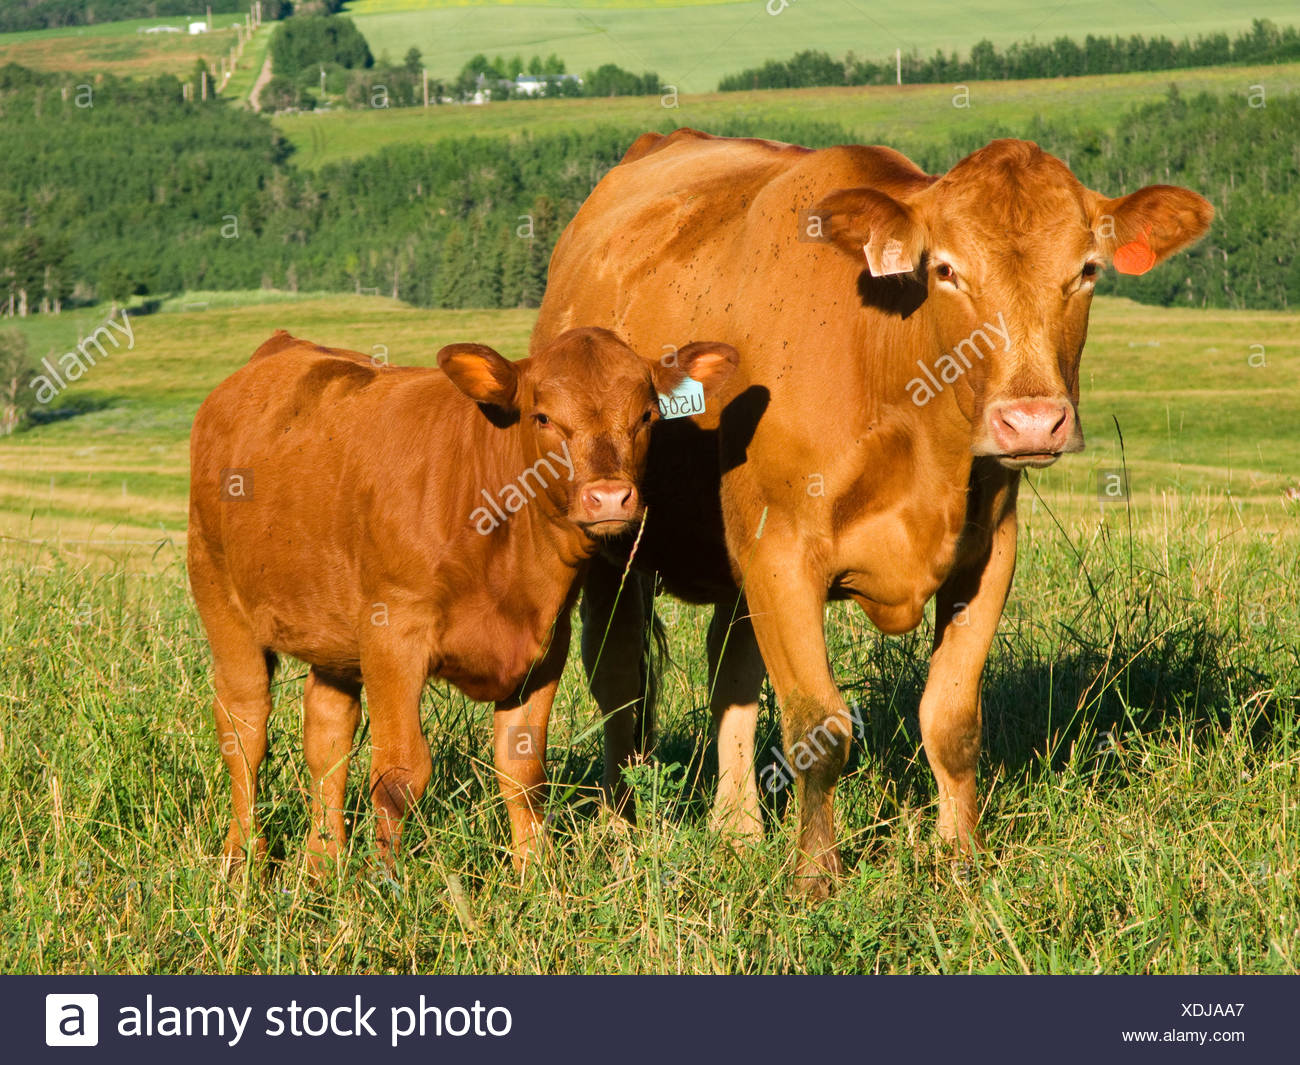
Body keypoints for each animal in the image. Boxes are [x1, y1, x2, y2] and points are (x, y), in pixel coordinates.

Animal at [188, 326, 736, 871]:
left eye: (647, 417)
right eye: (542, 416)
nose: (609, 498)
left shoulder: (545, 646)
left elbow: (522, 770)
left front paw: (536, 873)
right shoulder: (393, 636)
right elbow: (399, 773)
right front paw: (384, 881)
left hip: (331, 632)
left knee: (327, 735)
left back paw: (325, 864)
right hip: (219, 596)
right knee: (244, 728)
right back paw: (242, 859)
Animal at [532, 129, 1213, 896]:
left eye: (1088, 270)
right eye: (946, 269)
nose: (1033, 421)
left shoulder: (988, 553)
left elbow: (951, 718)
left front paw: (961, 858)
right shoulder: (782, 552)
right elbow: (817, 726)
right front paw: (815, 877)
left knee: (729, 672)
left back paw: (737, 831)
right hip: (612, 540)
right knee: (619, 679)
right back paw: (622, 830)